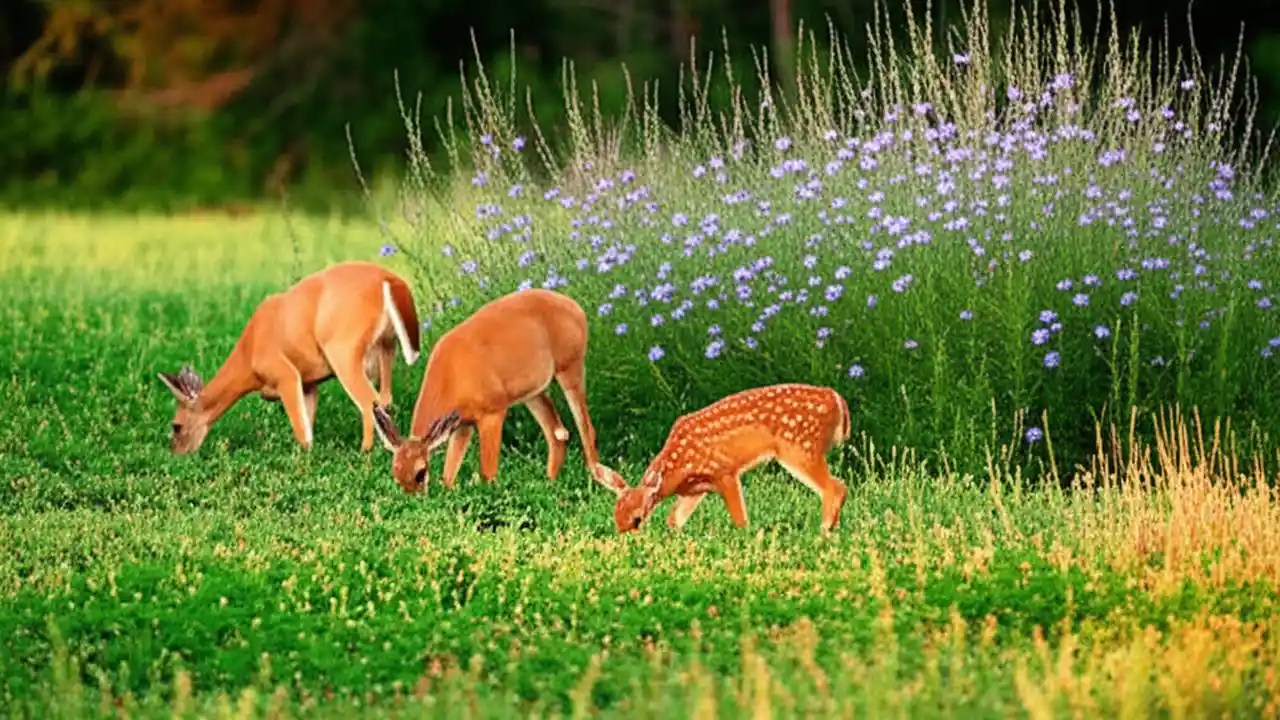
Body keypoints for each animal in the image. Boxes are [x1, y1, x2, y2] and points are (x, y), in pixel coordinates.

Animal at [156, 260, 421, 454]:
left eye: (176, 426)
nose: (176, 453)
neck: (249, 358)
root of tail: (388, 279)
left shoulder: (285, 372)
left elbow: (300, 427)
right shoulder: (309, 382)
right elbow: (308, 420)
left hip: (343, 349)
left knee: (368, 400)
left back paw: (365, 451)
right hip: (387, 345)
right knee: (385, 398)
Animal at [369, 288, 626, 496]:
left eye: (421, 472)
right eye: (396, 474)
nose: (415, 499)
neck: (452, 376)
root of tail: (578, 309)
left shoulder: (493, 411)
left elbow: (488, 472)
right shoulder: (463, 423)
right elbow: (449, 473)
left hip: (570, 366)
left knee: (586, 428)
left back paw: (612, 484)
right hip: (532, 392)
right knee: (557, 432)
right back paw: (549, 484)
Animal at [609, 383, 852, 534]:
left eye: (637, 519)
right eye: (616, 520)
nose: (628, 542)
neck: (679, 467)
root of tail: (837, 399)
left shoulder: (725, 471)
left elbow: (740, 519)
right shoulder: (696, 489)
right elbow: (674, 519)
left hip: (801, 448)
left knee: (835, 486)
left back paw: (823, 531)